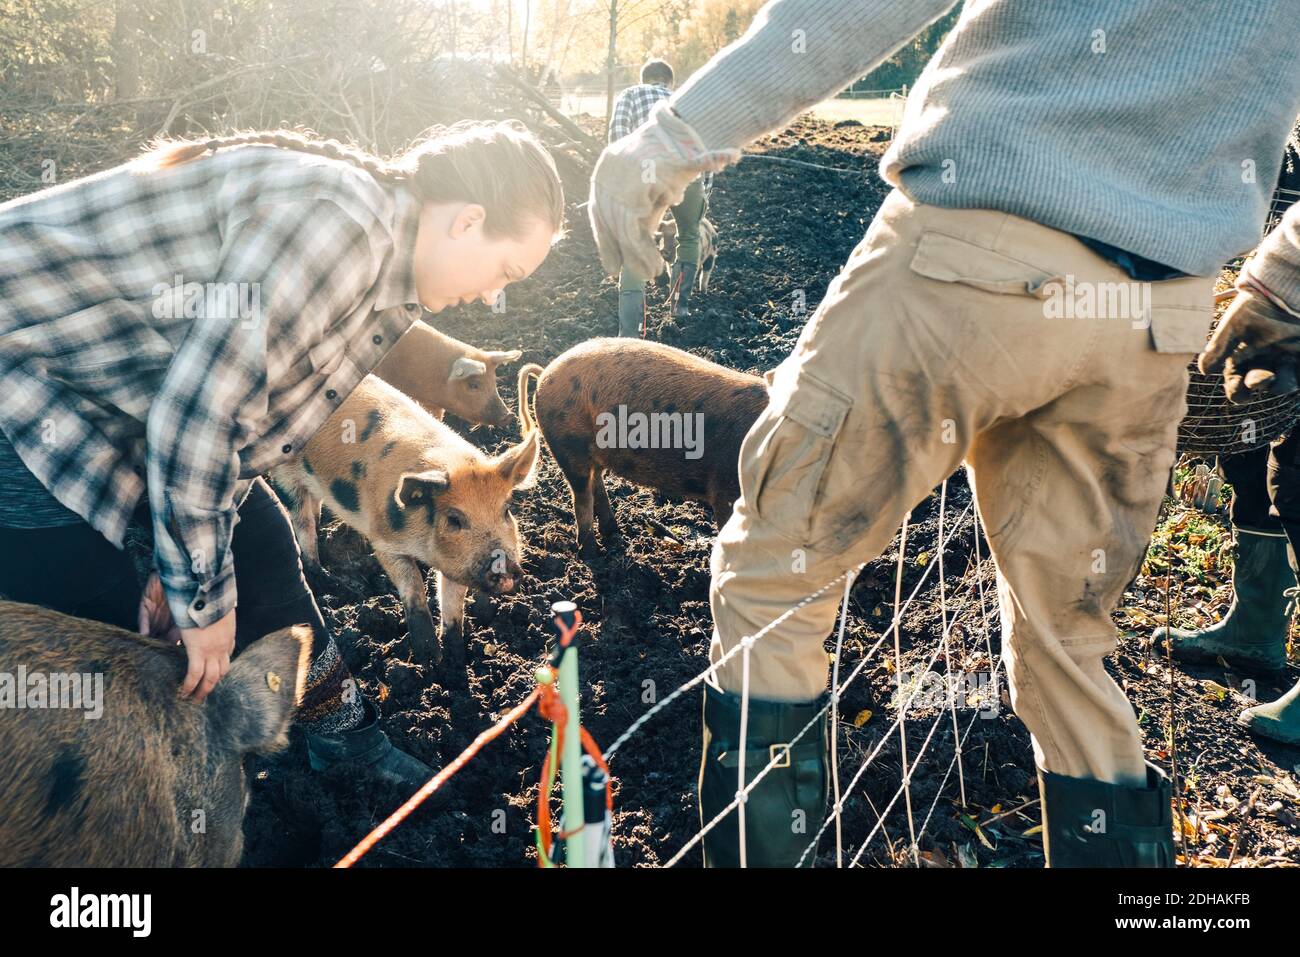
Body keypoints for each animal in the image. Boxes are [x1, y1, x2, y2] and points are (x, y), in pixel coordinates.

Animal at [272, 374, 539, 667]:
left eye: (507, 510)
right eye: (454, 519)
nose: (505, 569)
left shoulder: (457, 564)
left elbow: (452, 604)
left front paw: (456, 663)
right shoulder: (384, 542)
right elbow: (413, 588)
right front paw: (428, 660)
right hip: (285, 476)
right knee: (303, 525)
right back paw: (332, 581)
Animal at [518, 338, 768, 558]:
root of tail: (544, 373)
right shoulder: (726, 492)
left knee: (595, 482)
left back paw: (614, 534)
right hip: (568, 445)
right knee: (581, 496)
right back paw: (592, 556)